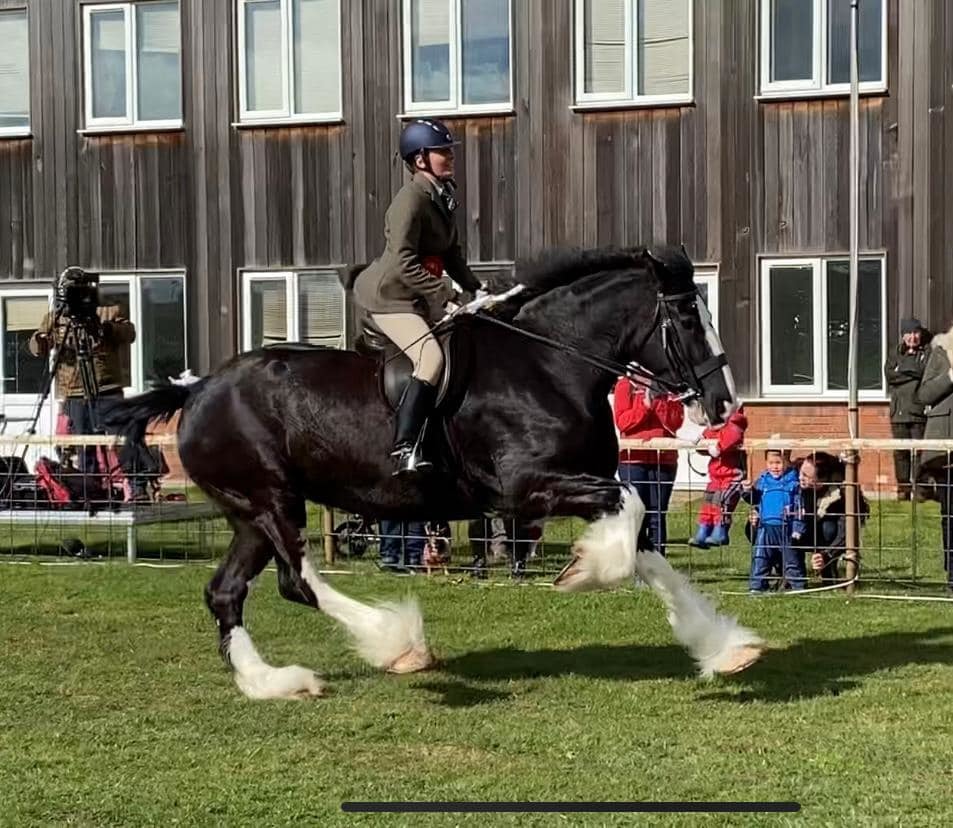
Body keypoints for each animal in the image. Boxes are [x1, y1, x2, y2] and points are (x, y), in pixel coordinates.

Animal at [102, 246, 764, 700]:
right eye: (687, 317)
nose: (725, 405)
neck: (549, 363)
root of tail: (197, 390)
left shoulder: (580, 484)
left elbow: (648, 545)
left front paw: (727, 649)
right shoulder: (525, 489)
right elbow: (630, 511)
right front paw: (586, 568)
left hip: (248, 516)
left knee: (227, 591)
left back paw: (273, 681)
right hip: (271, 500)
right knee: (297, 580)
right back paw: (397, 646)